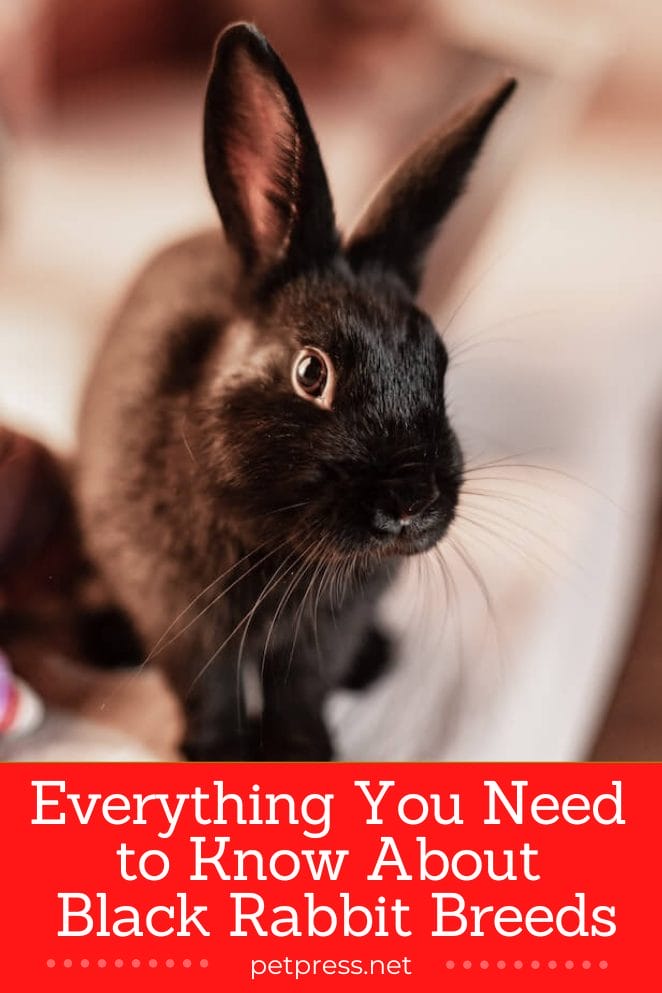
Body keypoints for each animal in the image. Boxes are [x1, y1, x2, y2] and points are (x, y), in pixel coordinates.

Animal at [76, 22, 515, 761]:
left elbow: (300, 688)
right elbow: (209, 691)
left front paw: (304, 752)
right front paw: (216, 755)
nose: (413, 502)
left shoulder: (323, 635)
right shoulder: (186, 626)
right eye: (312, 372)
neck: (283, 539)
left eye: (439, 364)